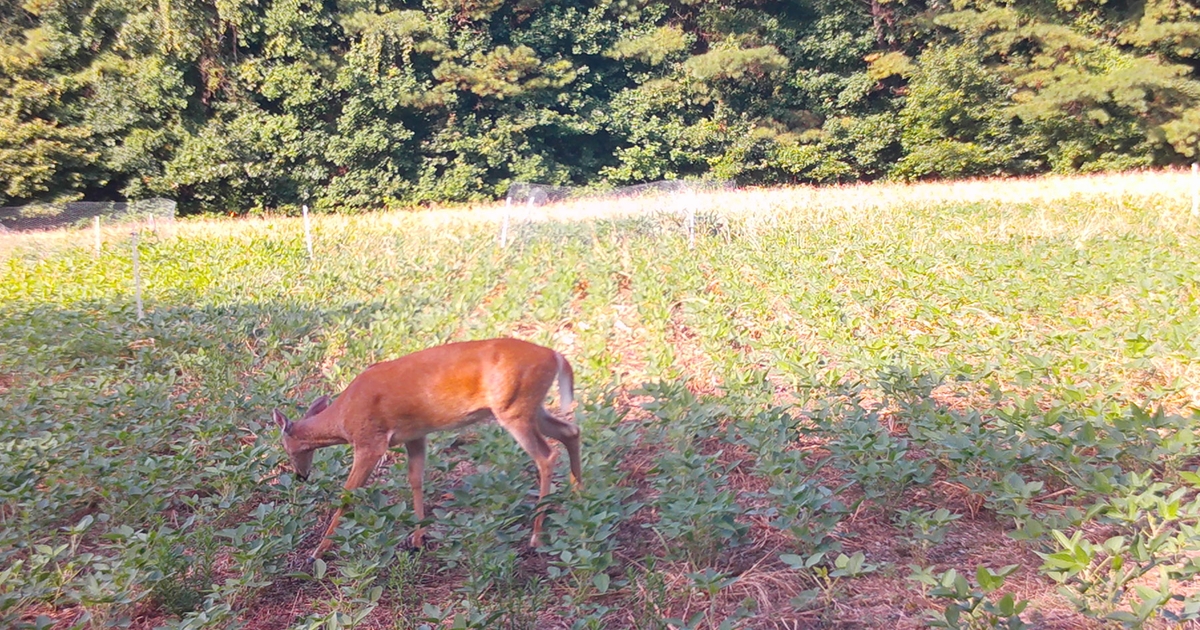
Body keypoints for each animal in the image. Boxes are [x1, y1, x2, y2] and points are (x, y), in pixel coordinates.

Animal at [271, 337, 583, 563]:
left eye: (286, 449)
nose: (300, 476)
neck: (343, 417)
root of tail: (556, 356)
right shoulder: (415, 435)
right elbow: (416, 480)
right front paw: (418, 539)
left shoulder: (370, 441)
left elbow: (348, 495)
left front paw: (317, 553)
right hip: (531, 406)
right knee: (571, 431)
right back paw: (578, 495)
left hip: (513, 407)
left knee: (547, 456)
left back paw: (536, 536)